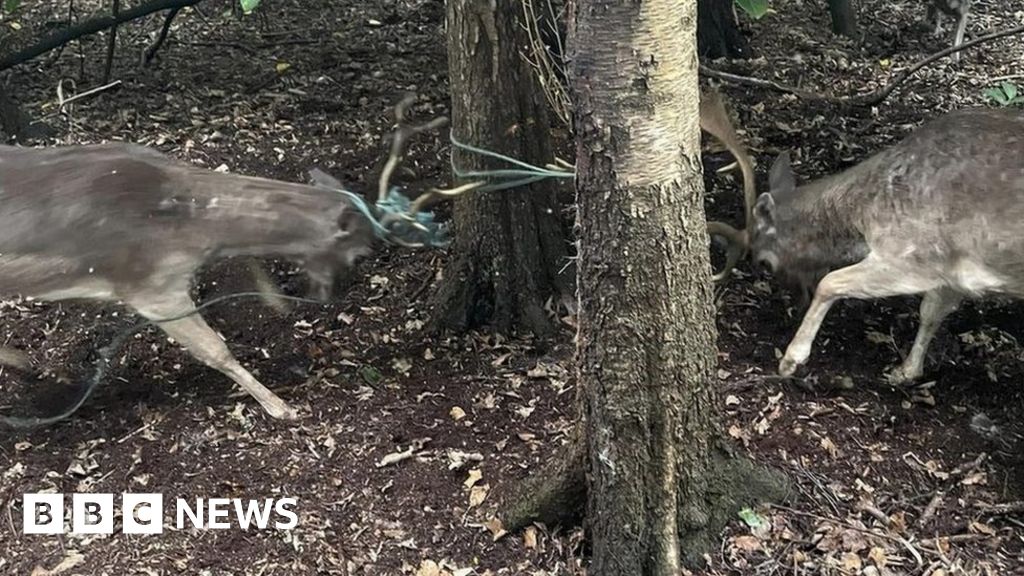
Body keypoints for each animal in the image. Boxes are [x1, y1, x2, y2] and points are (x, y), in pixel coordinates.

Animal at [0, 95, 449, 422]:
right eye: (361, 251)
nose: (330, 295)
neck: (193, 229)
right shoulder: (151, 284)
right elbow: (216, 349)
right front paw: (282, 408)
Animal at [701, 90, 1024, 385]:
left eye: (765, 263)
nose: (796, 301)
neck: (867, 213)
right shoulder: (954, 273)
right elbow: (930, 311)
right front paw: (905, 372)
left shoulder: (915, 253)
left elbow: (830, 282)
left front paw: (792, 359)